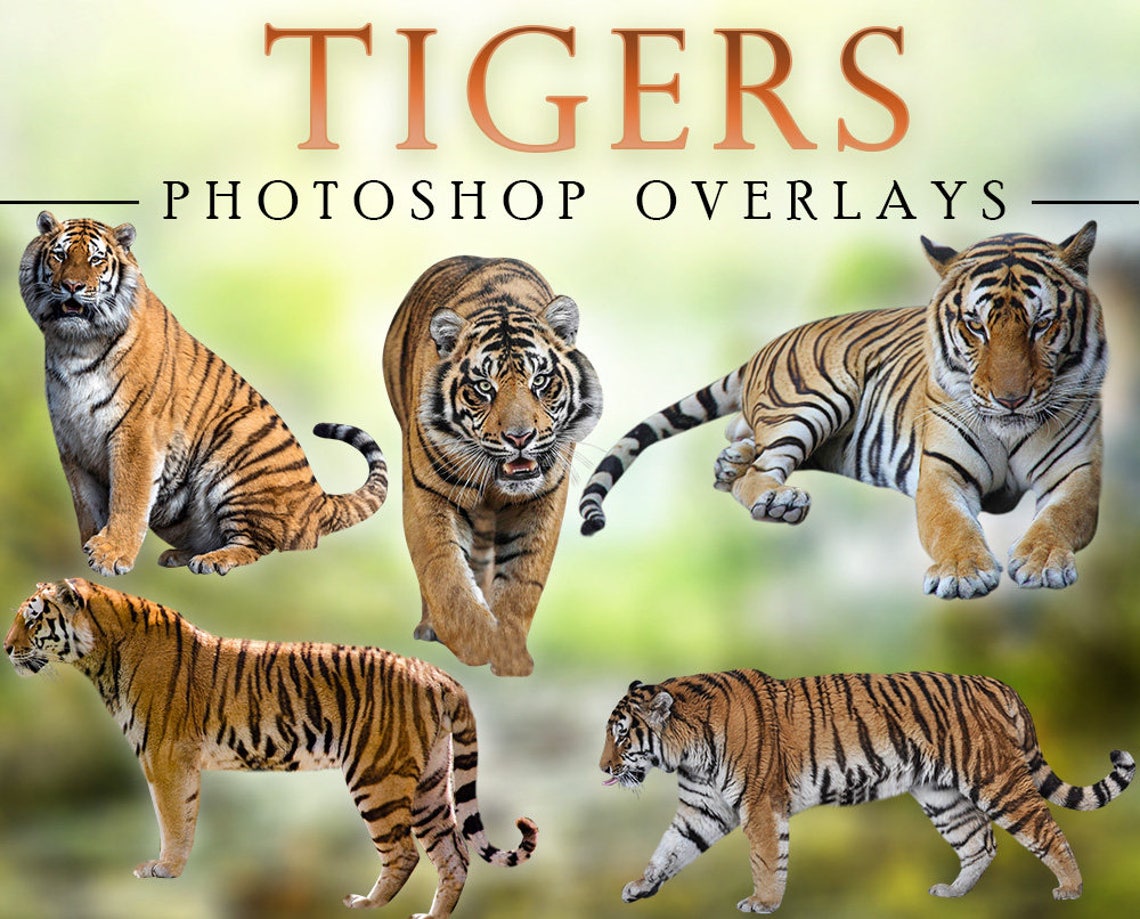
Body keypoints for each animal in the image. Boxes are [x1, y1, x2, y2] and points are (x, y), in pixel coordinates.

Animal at [5, 578, 538, 917]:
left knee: (405, 851)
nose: (6, 649)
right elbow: (187, 818)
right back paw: (431, 916)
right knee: (454, 854)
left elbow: (172, 819)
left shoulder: (163, 757)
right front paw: (173, 869)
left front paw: (163, 869)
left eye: (32, 620)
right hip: (428, 782)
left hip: (378, 776)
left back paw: (365, 905)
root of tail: (437, 672)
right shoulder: (176, 762)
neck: (100, 656)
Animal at [18, 211, 388, 576]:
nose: (72, 286)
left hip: (238, 457)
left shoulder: (136, 434)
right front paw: (89, 551)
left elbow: (127, 498)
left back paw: (213, 561)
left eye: (96, 259)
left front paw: (111, 555)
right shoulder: (72, 442)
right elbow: (85, 504)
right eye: (60, 255)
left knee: (256, 545)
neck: (75, 346)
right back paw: (179, 555)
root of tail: (318, 497)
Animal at [383, 256, 602, 677]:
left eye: (540, 381)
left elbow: (522, 580)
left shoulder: (543, 499)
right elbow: (446, 574)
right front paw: (474, 642)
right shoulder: (428, 493)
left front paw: (508, 653)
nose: (520, 438)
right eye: (484, 387)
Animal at [579, 224, 1104, 600]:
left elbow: (1060, 517)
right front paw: (962, 572)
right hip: (816, 399)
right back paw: (775, 498)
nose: (1010, 399)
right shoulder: (940, 473)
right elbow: (950, 525)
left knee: (744, 445)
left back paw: (730, 463)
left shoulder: (1078, 471)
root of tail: (768, 344)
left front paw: (1040, 561)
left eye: (1042, 324)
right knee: (759, 470)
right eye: (976, 326)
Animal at [601, 669, 1134, 913]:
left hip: (997, 779)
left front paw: (763, 903)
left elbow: (765, 858)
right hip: (941, 796)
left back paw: (1071, 889)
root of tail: (996, 683)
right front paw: (640, 886)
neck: (685, 752)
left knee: (1047, 832)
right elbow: (668, 850)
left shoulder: (759, 806)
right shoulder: (701, 810)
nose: (602, 767)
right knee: (980, 842)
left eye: (623, 736)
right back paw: (953, 893)